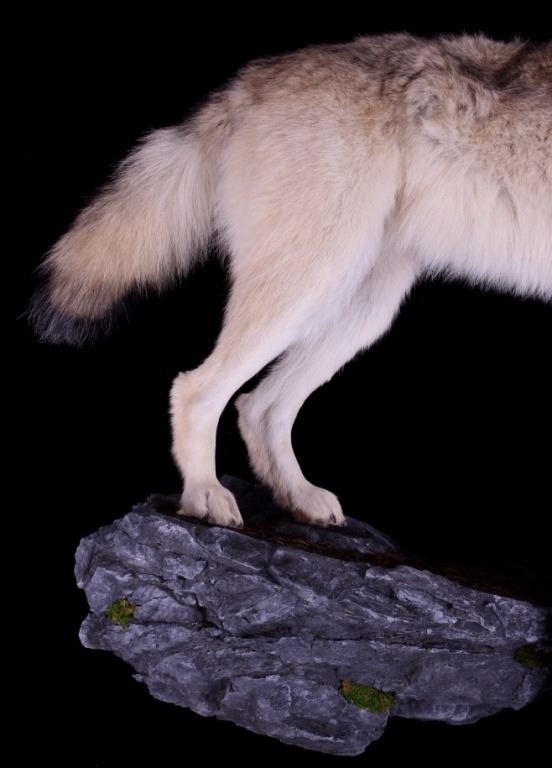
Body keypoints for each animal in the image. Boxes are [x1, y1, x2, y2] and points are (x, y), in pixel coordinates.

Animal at [31, 33, 552, 529]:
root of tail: (253, 79)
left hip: (358, 307)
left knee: (258, 406)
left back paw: (299, 498)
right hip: (309, 285)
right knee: (197, 388)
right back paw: (205, 495)